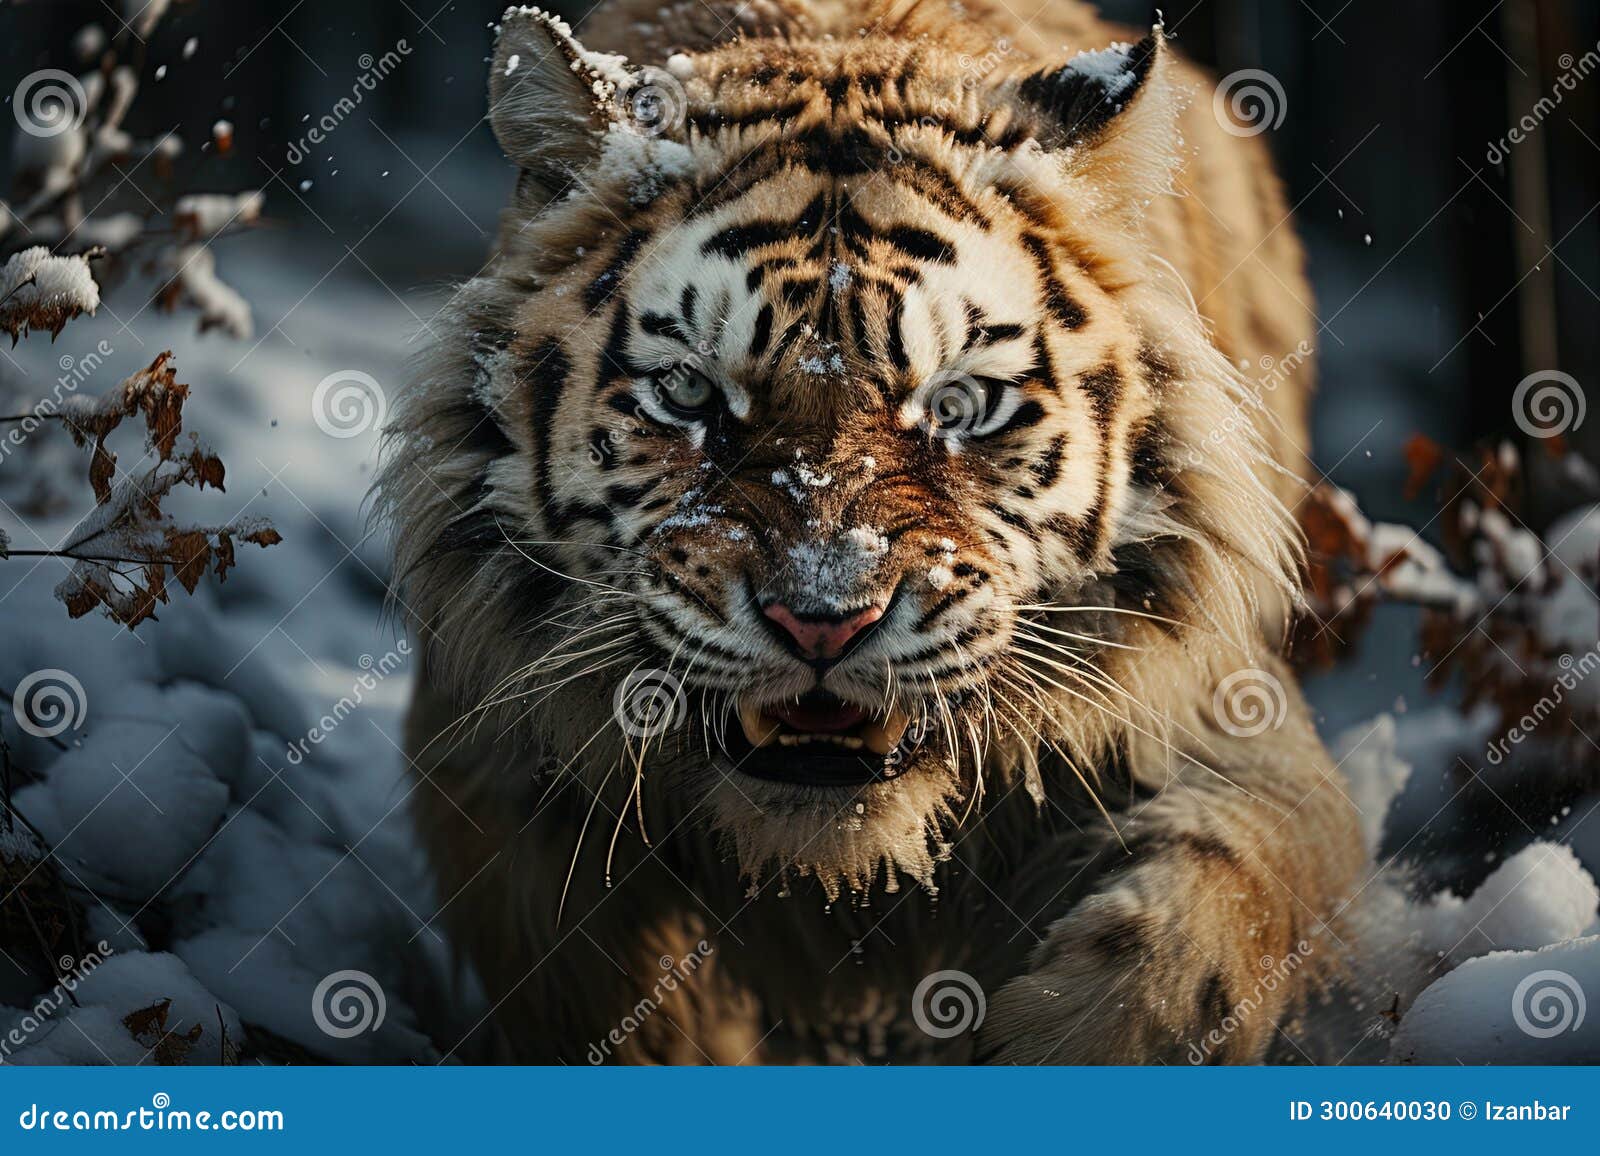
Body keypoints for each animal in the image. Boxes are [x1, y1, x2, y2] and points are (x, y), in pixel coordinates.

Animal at [377, 0, 1363, 1063]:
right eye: (688, 393)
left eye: (961, 405)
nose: (823, 620)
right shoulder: (504, 777)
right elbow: (621, 1015)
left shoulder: (1230, 720)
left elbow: (1197, 925)